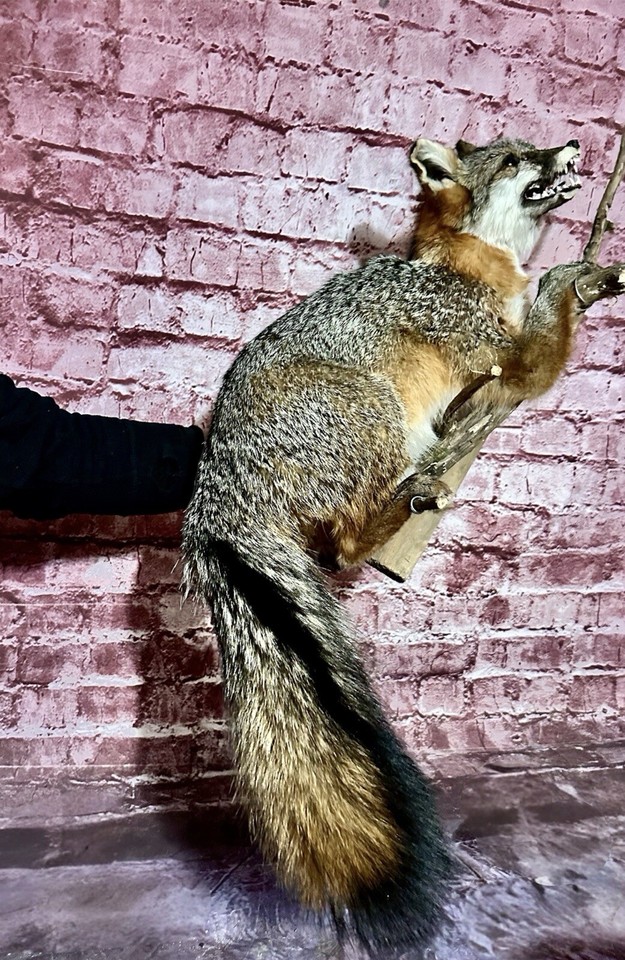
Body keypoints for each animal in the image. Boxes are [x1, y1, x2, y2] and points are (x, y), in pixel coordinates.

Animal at [182, 135, 624, 954]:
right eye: (516, 158)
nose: (574, 143)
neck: (471, 266)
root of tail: (213, 492)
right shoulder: (510, 363)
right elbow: (549, 315)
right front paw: (576, 275)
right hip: (379, 410)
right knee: (346, 545)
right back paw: (409, 499)